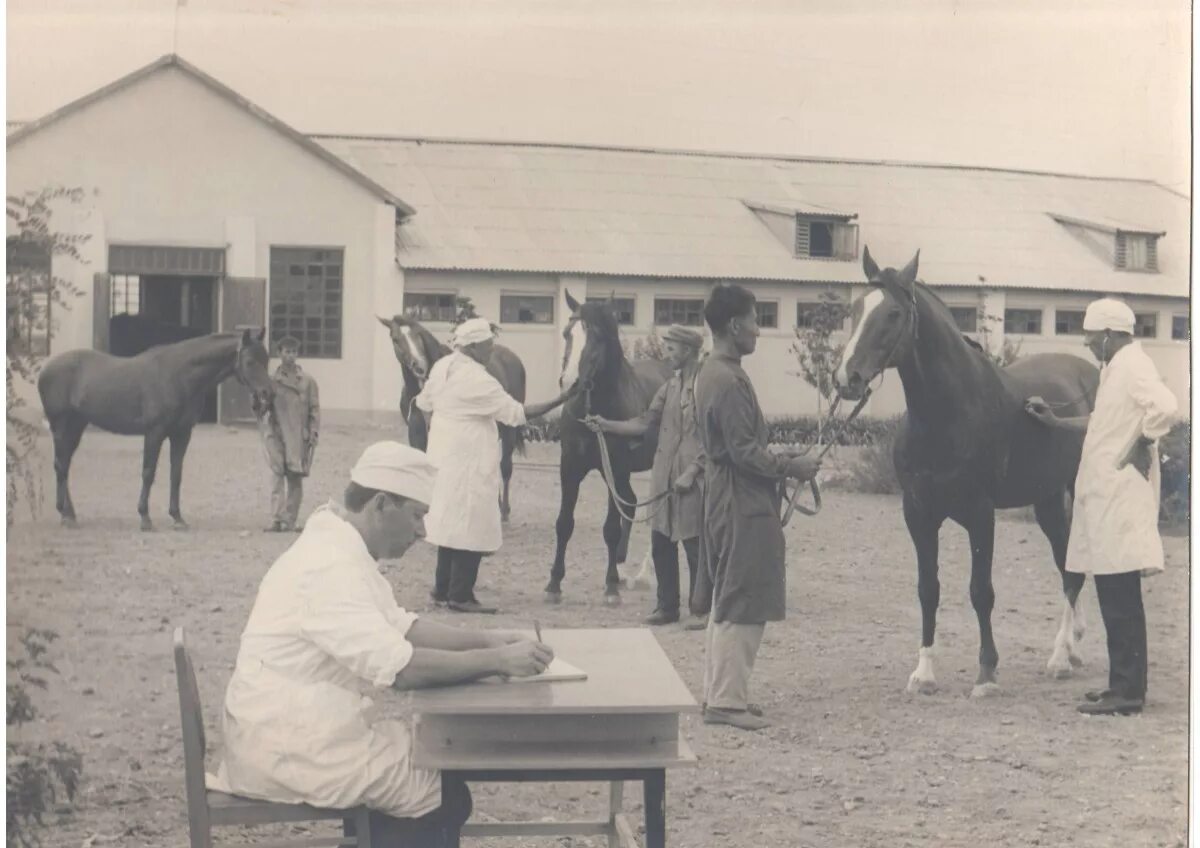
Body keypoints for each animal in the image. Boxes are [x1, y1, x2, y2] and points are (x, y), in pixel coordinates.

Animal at [37, 331, 274, 530]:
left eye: (267, 359)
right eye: (250, 361)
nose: (267, 393)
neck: (178, 376)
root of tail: (46, 368)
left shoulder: (182, 434)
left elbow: (176, 475)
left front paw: (177, 517)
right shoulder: (154, 432)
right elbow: (148, 472)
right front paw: (145, 518)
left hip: (76, 426)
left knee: (65, 465)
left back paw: (70, 514)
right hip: (61, 426)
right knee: (60, 466)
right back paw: (65, 515)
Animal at [374, 314, 525, 520]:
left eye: (419, 335)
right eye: (395, 339)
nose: (419, 366)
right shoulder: (416, 431)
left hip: (509, 429)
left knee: (505, 467)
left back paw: (503, 512)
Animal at [549, 291, 676, 604]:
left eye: (597, 337)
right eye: (567, 333)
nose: (569, 384)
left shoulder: (616, 469)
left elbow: (610, 528)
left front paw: (610, 587)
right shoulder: (570, 468)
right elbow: (564, 523)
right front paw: (554, 583)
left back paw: (641, 574)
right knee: (629, 503)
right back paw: (621, 564)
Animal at [835, 247, 1099, 695]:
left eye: (893, 314)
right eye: (855, 309)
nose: (846, 379)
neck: (947, 415)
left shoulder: (980, 514)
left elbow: (981, 592)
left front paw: (987, 673)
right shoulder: (918, 514)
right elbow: (928, 589)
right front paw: (924, 673)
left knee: (1072, 573)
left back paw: (1060, 657)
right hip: (1047, 499)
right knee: (1068, 564)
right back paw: (1074, 648)